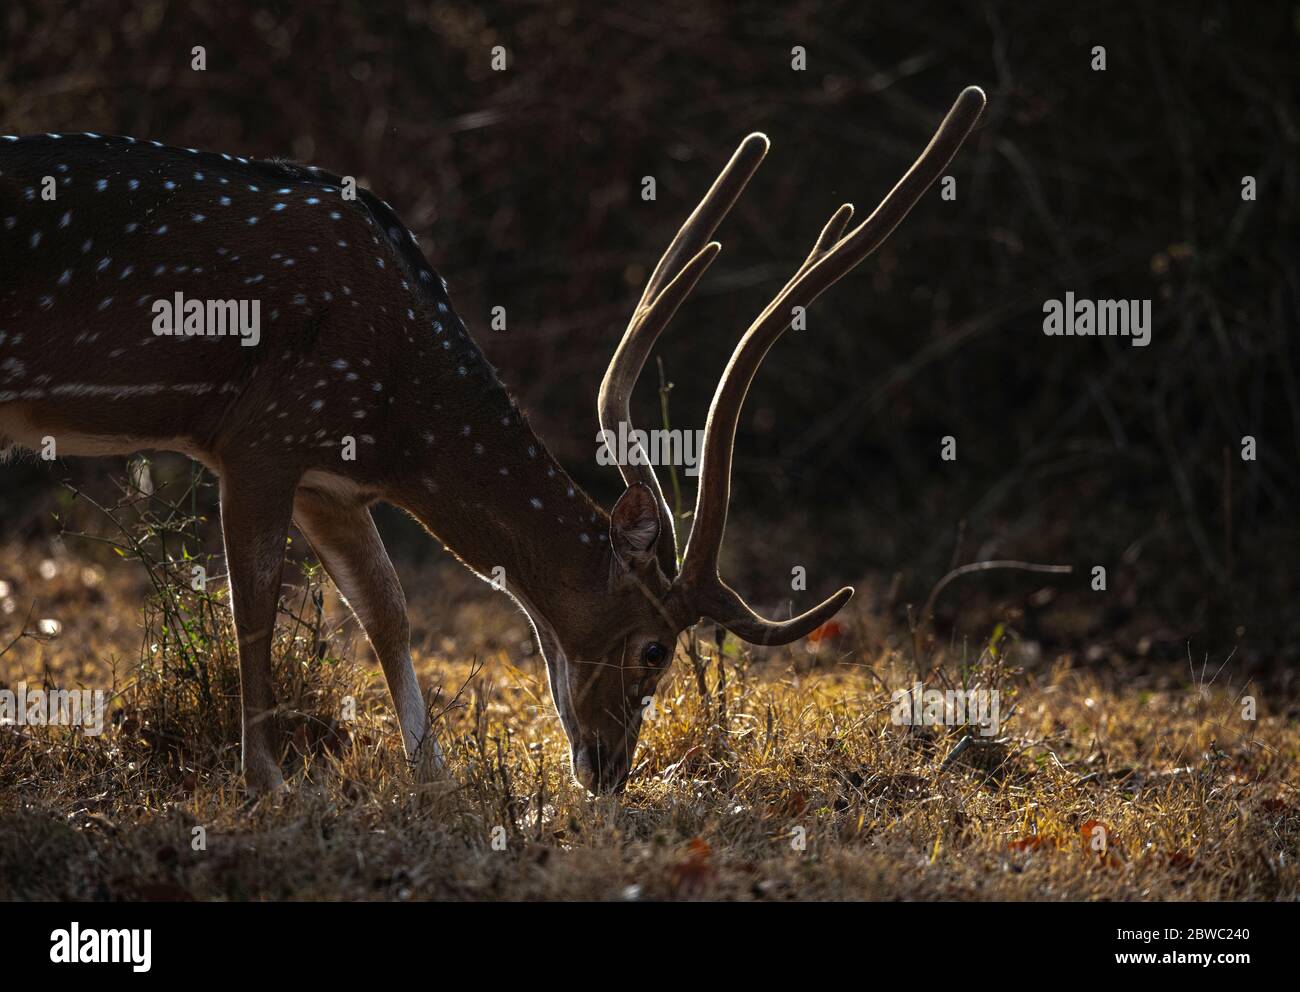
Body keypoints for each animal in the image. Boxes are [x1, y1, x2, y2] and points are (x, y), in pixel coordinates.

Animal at [0, 86, 986, 796]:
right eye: (654, 651)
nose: (609, 772)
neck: (398, 409)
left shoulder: (328, 475)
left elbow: (388, 608)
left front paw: (436, 778)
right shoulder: (262, 438)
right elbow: (255, 608)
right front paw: (270, 784)